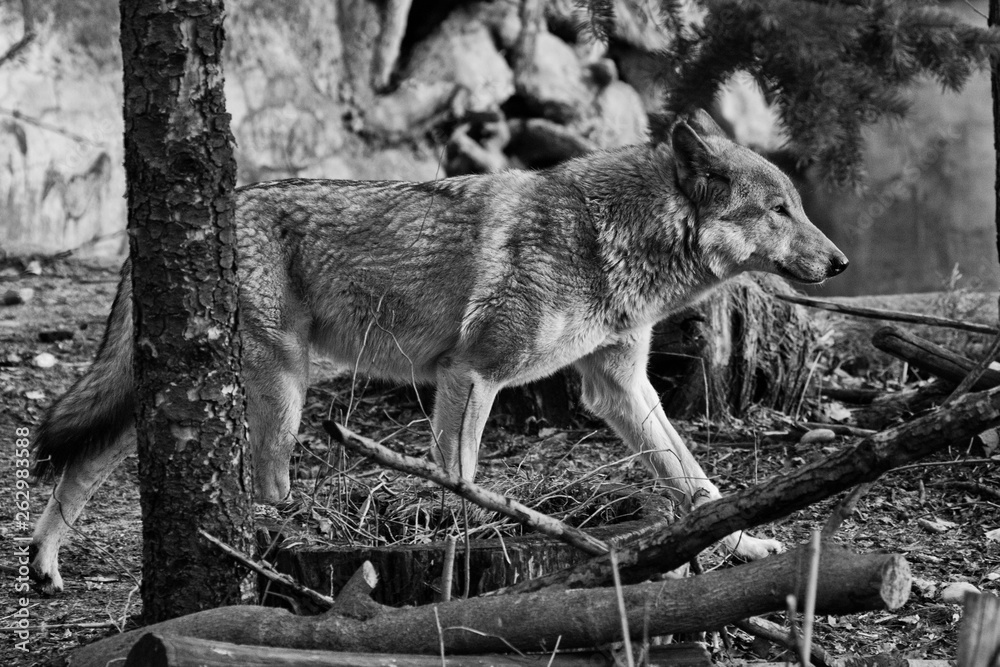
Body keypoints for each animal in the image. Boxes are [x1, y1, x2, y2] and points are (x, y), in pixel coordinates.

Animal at [29, 111, 847, 593]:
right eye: (779, 210)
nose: (840, 263)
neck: (605, 238)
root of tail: (145, 239)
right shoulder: (473, 374)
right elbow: (462, 478)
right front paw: (472, 536)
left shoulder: (620, 388)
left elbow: (696, 478)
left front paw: (746, 542)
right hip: (282, 390)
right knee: (263, 489)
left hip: (171, 393)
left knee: (79, 465)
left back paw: (43, 569)